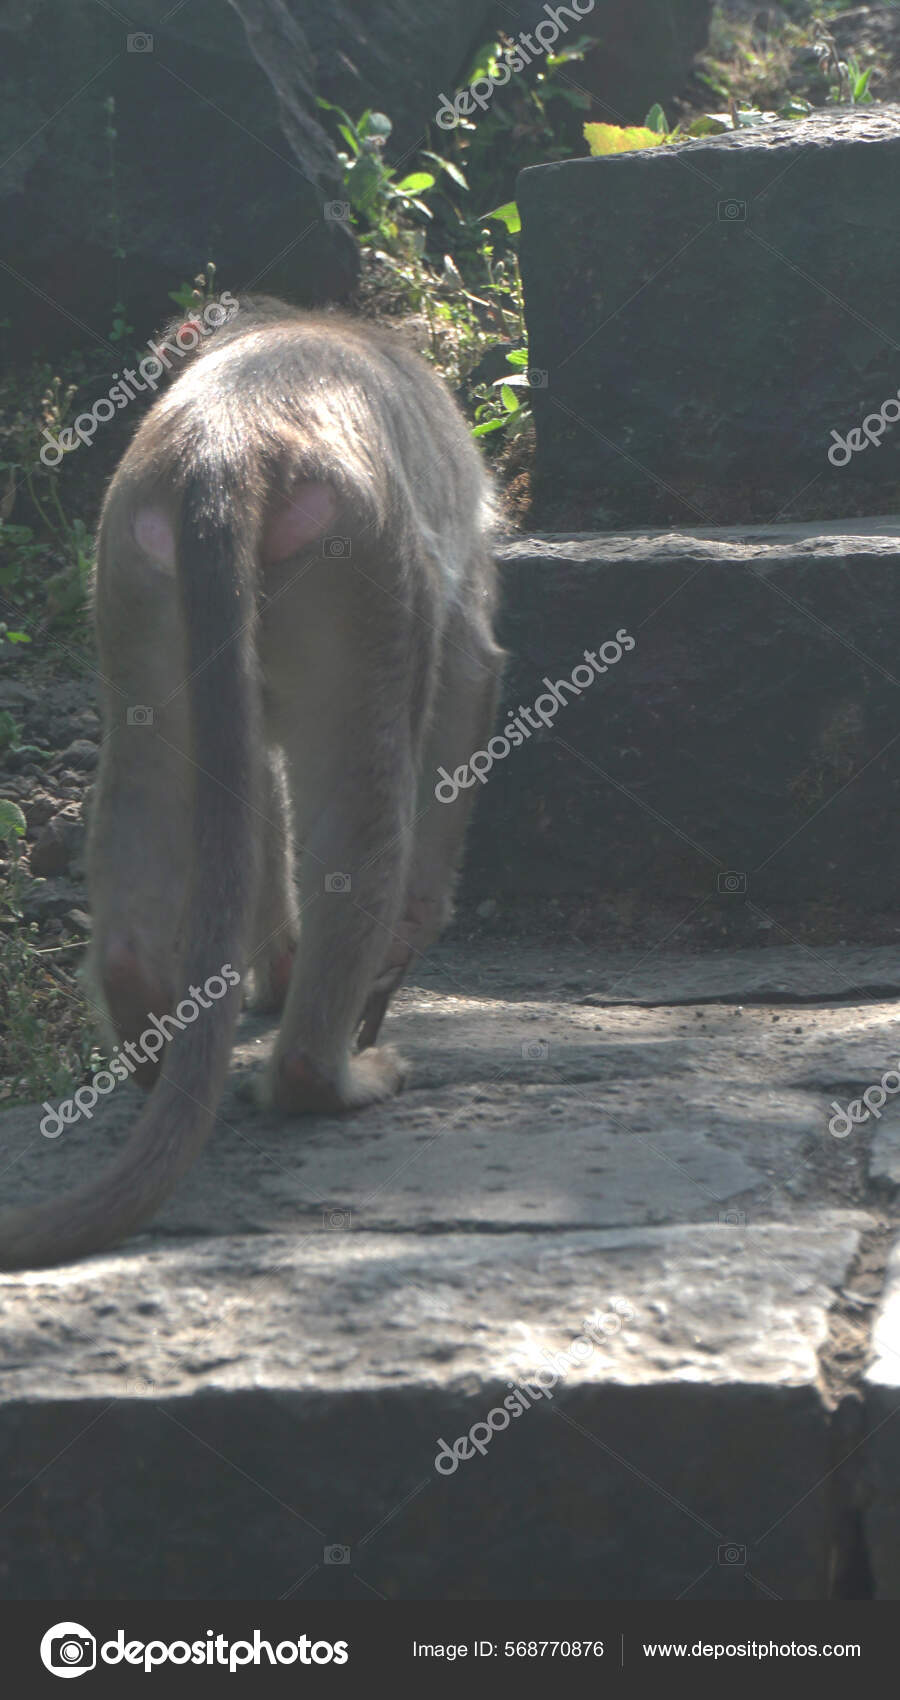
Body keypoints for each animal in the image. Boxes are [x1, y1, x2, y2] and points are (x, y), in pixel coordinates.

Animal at [0, 296, 504, 1269]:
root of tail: (224, 444)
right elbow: (469, 678)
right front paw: (410, 938)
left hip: (133, 563)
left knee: (154, 769)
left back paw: (150, 1020)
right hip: (360, 560)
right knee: (367, 799)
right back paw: (324, 1077)